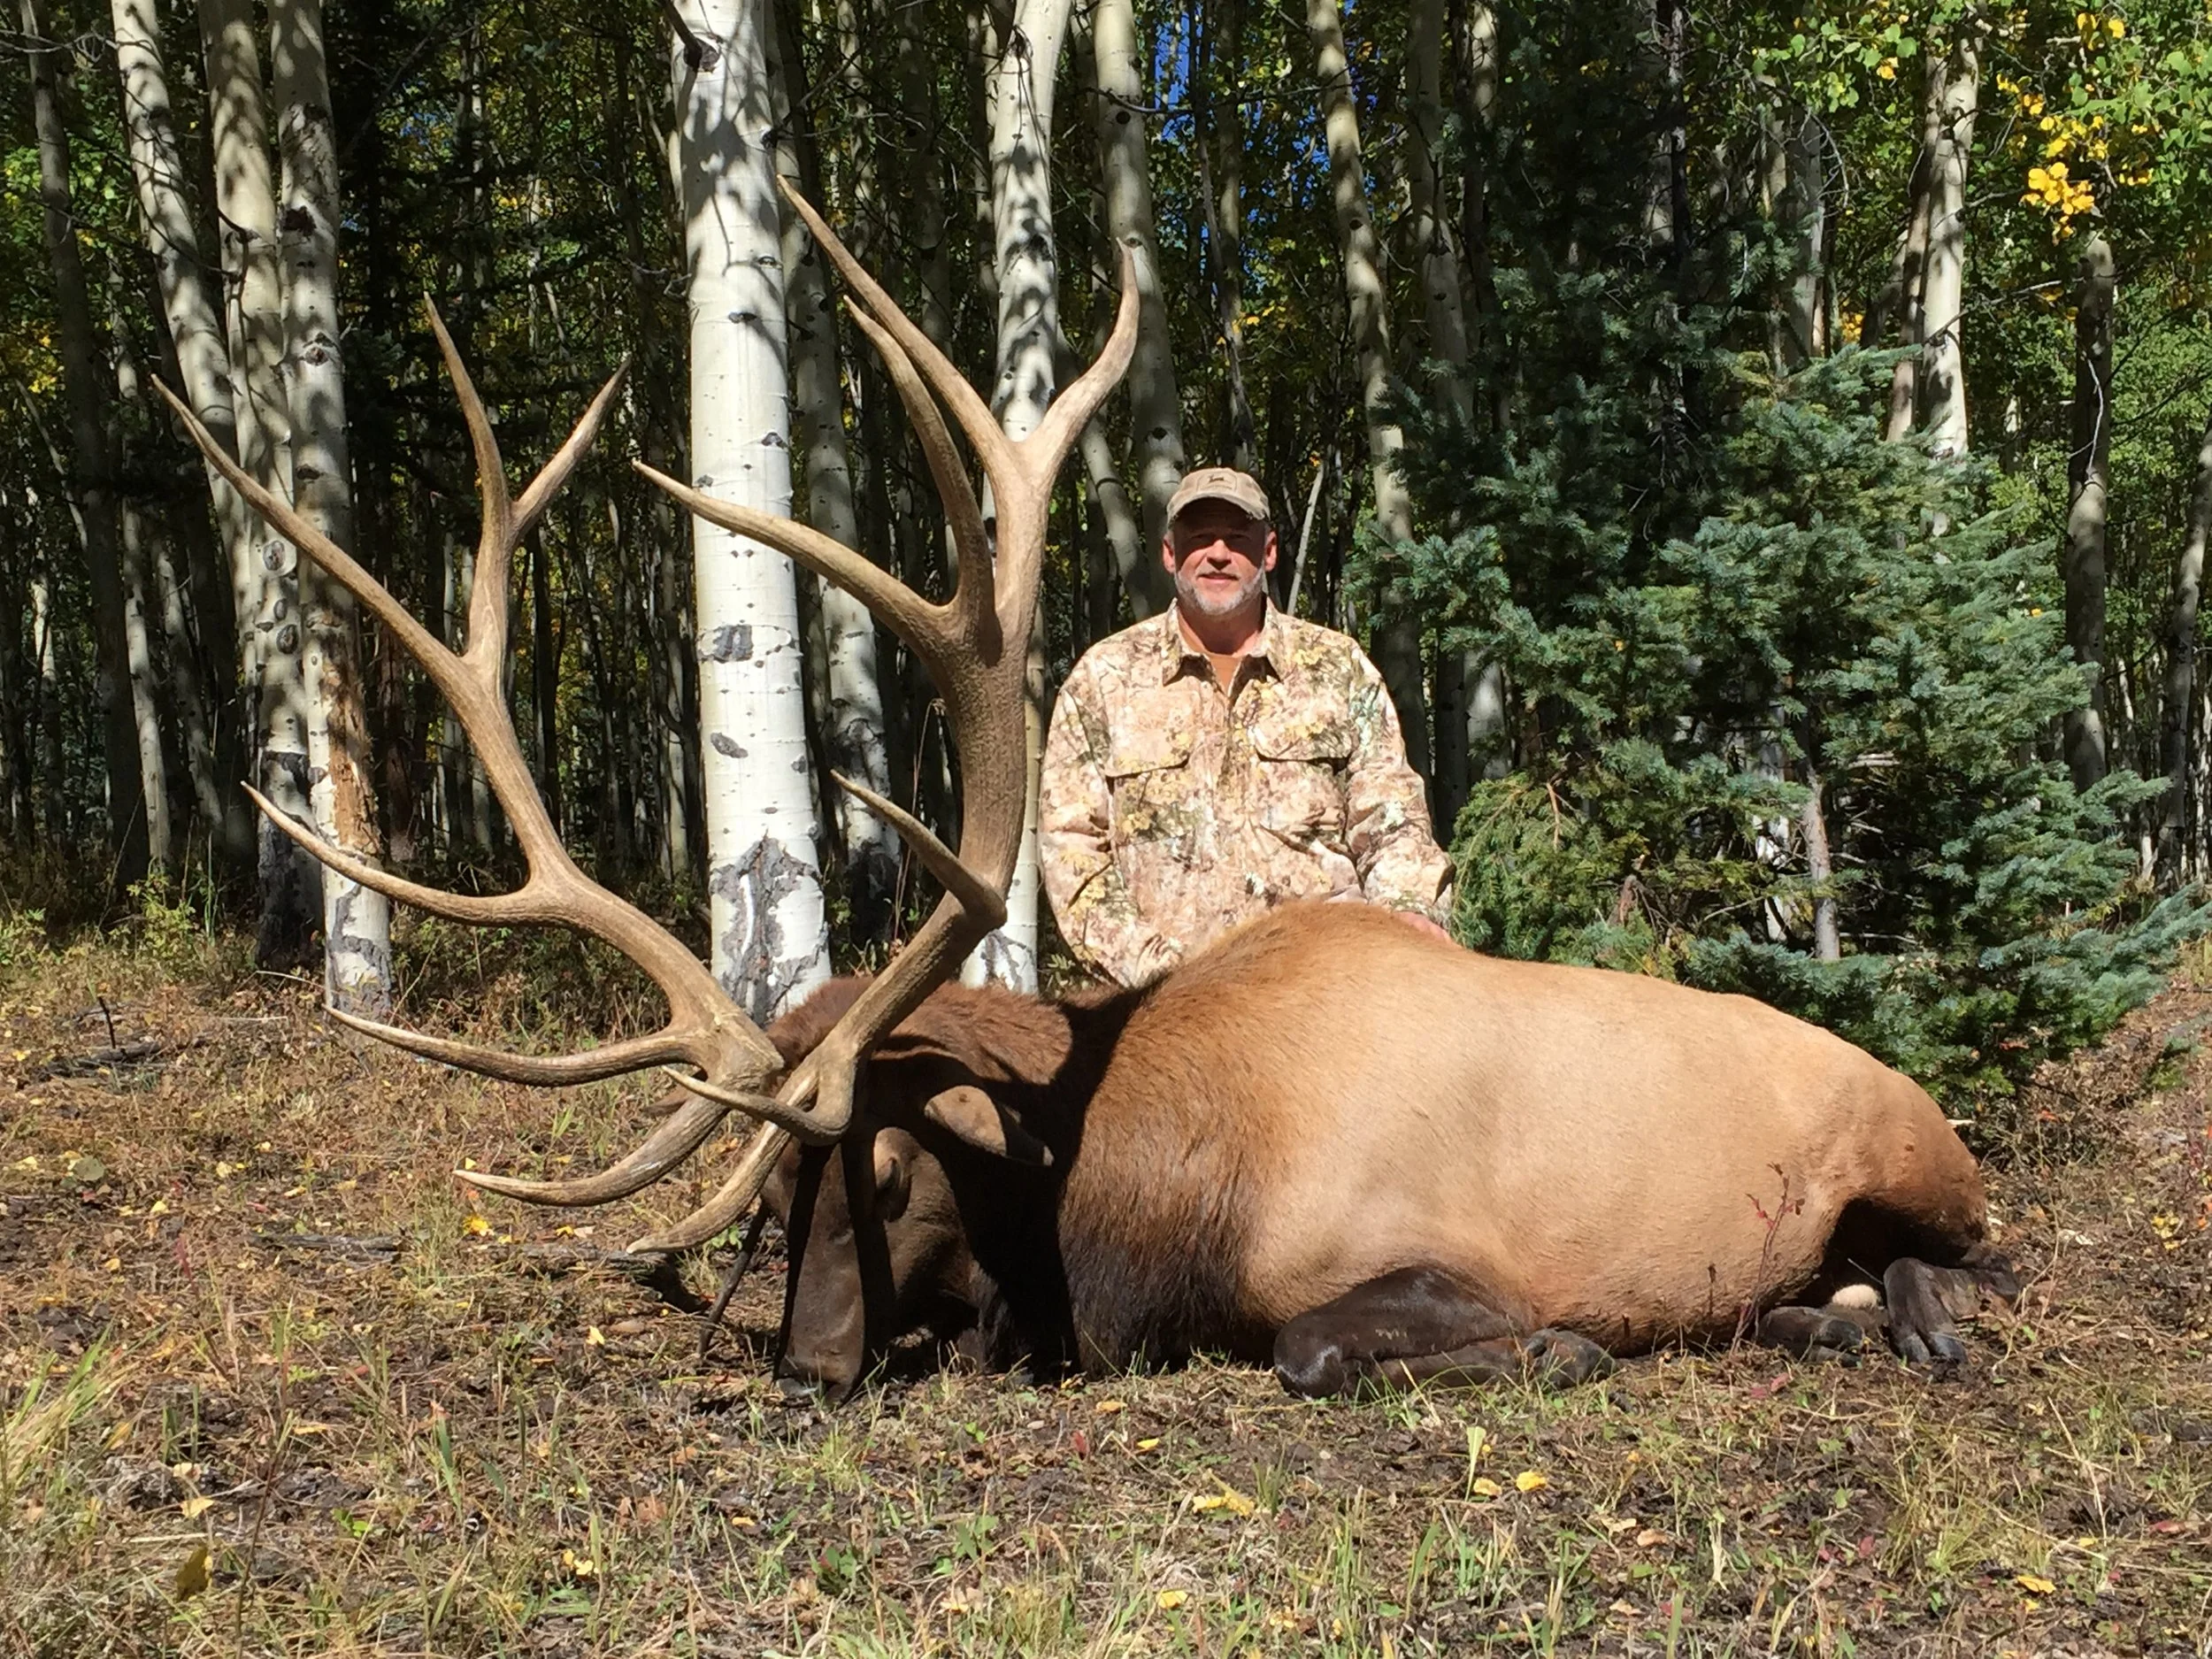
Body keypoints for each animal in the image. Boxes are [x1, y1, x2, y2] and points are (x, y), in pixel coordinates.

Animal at [753, 901, 2018, 1399]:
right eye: (774, 1193)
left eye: (889, 1172)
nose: (806, 1363)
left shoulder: (1464, 1268)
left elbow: (1304, 1347)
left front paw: (1563, 1351)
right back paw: (1827, 1325)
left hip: (1916, 1156)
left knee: (1992, 1256)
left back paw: (1924, 1320)